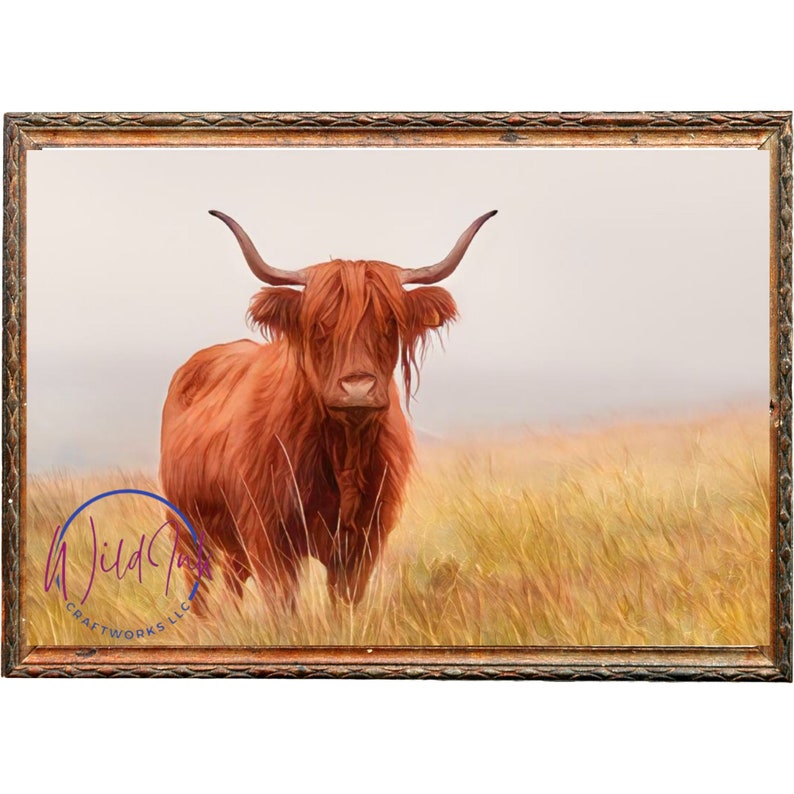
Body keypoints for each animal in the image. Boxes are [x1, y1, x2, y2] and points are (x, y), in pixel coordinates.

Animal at [159, 208, 497, 610]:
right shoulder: (269, 537)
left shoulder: (364, 540)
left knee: (231, 583)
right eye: (320, 325)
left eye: (390, 324)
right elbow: (282, 605)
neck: (343, 452)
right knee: (200, 590)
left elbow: (345, 603)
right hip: (188, 528)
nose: (358, 388)